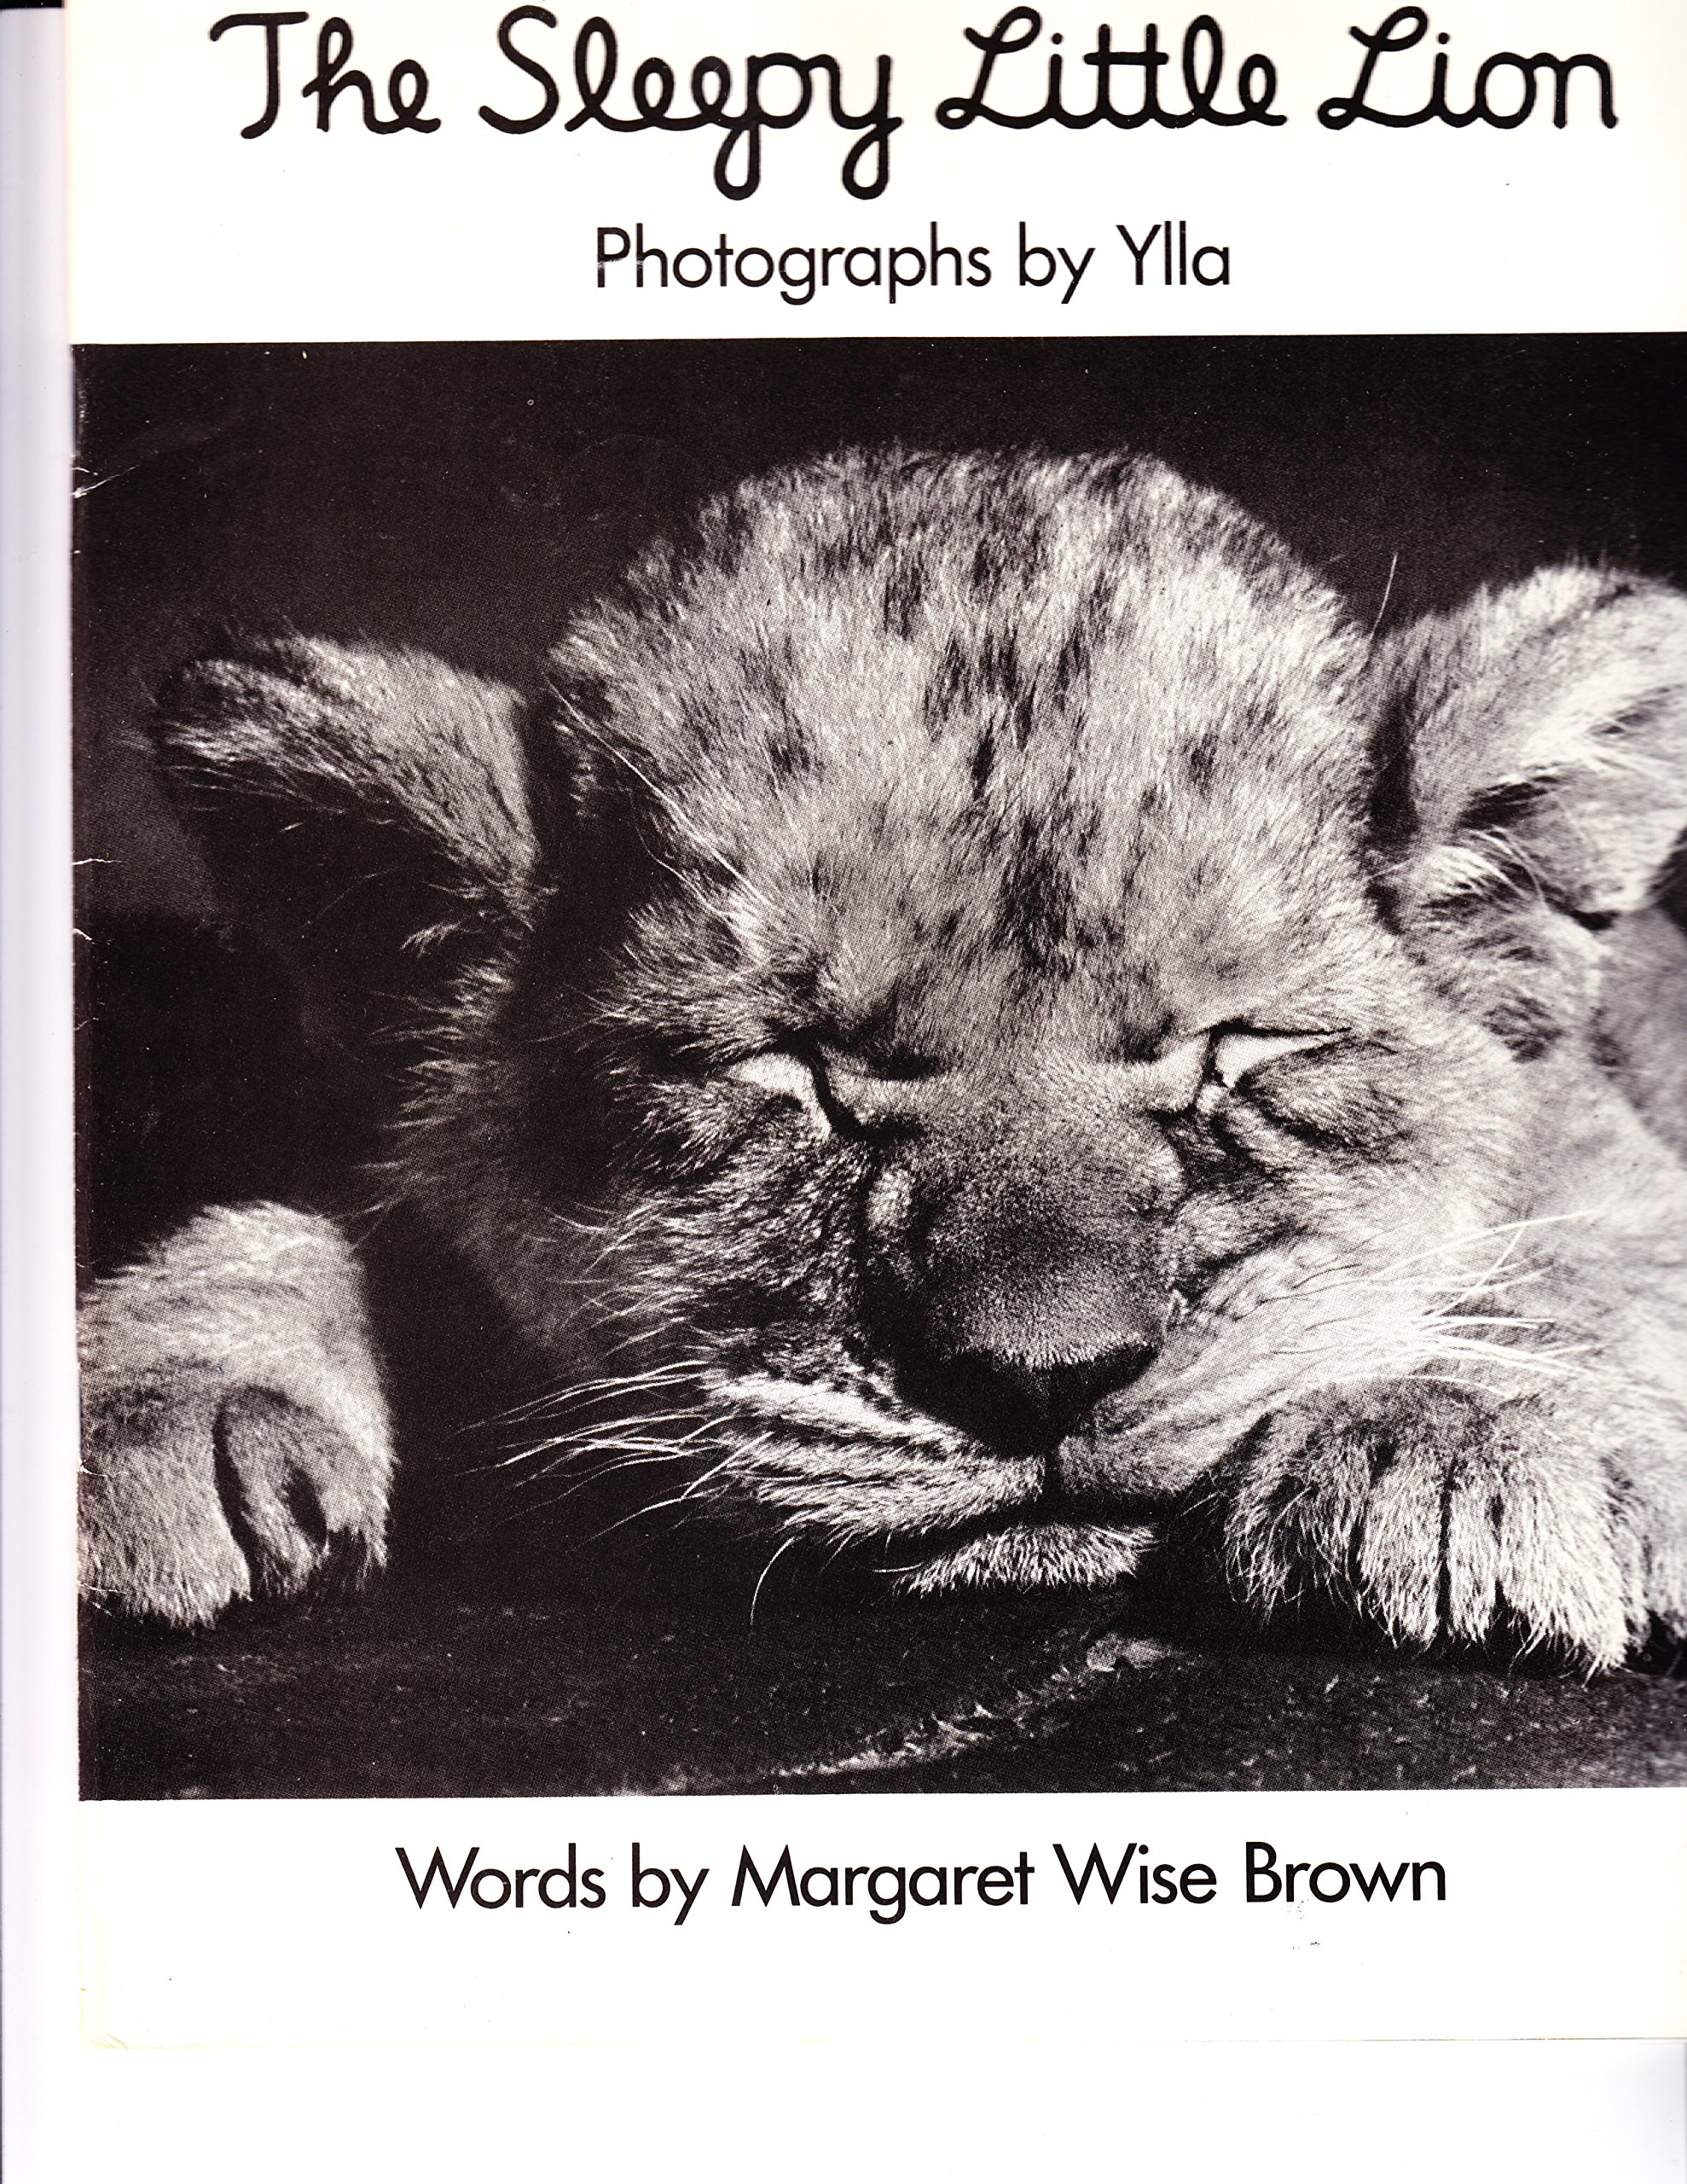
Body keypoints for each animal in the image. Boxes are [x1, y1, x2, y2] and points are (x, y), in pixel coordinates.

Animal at [77, 447, 1687, 1668]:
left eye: (1225, 1052)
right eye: (793, 1067)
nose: (1041, 1378)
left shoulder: (1595, 1116)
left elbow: (1593, 1254)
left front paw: (1477, 1445)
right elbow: (306, 1210)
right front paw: (167, 1417)